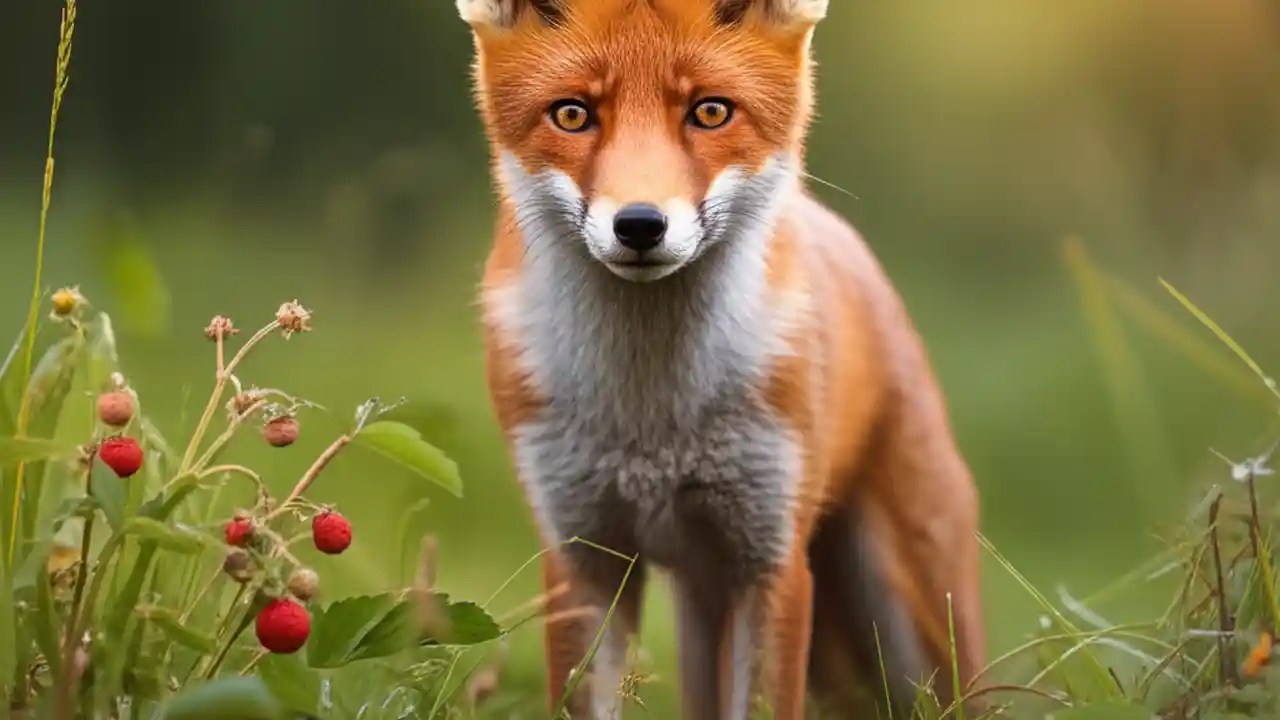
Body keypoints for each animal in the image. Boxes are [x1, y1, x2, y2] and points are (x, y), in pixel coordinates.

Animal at [455, 0, 986, 717]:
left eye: (710, 112)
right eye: (572, 114)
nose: (640, 224)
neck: (652, 417)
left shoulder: (772, 561)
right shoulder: (581, 557)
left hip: (917, 626)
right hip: (705, 606)